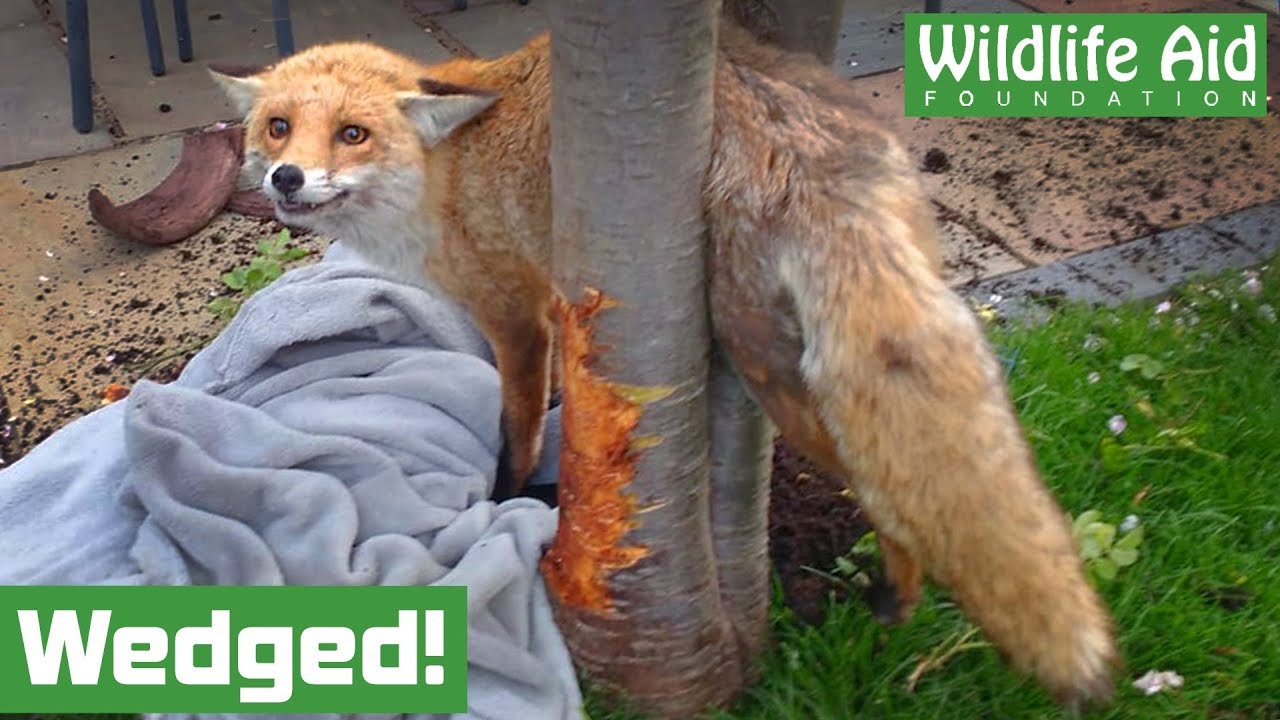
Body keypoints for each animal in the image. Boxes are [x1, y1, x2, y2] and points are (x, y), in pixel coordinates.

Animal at [211, 18, 1117, 709]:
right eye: (279, 127)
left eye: (353, 134)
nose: (286, 178)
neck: (443, 175)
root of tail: (766, 97)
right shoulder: (547, 304)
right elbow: (553, 409)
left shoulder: (516, 314)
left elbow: (516, 430)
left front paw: (509, 499)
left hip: (765, 360)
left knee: (882, 483)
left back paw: (898, 592)